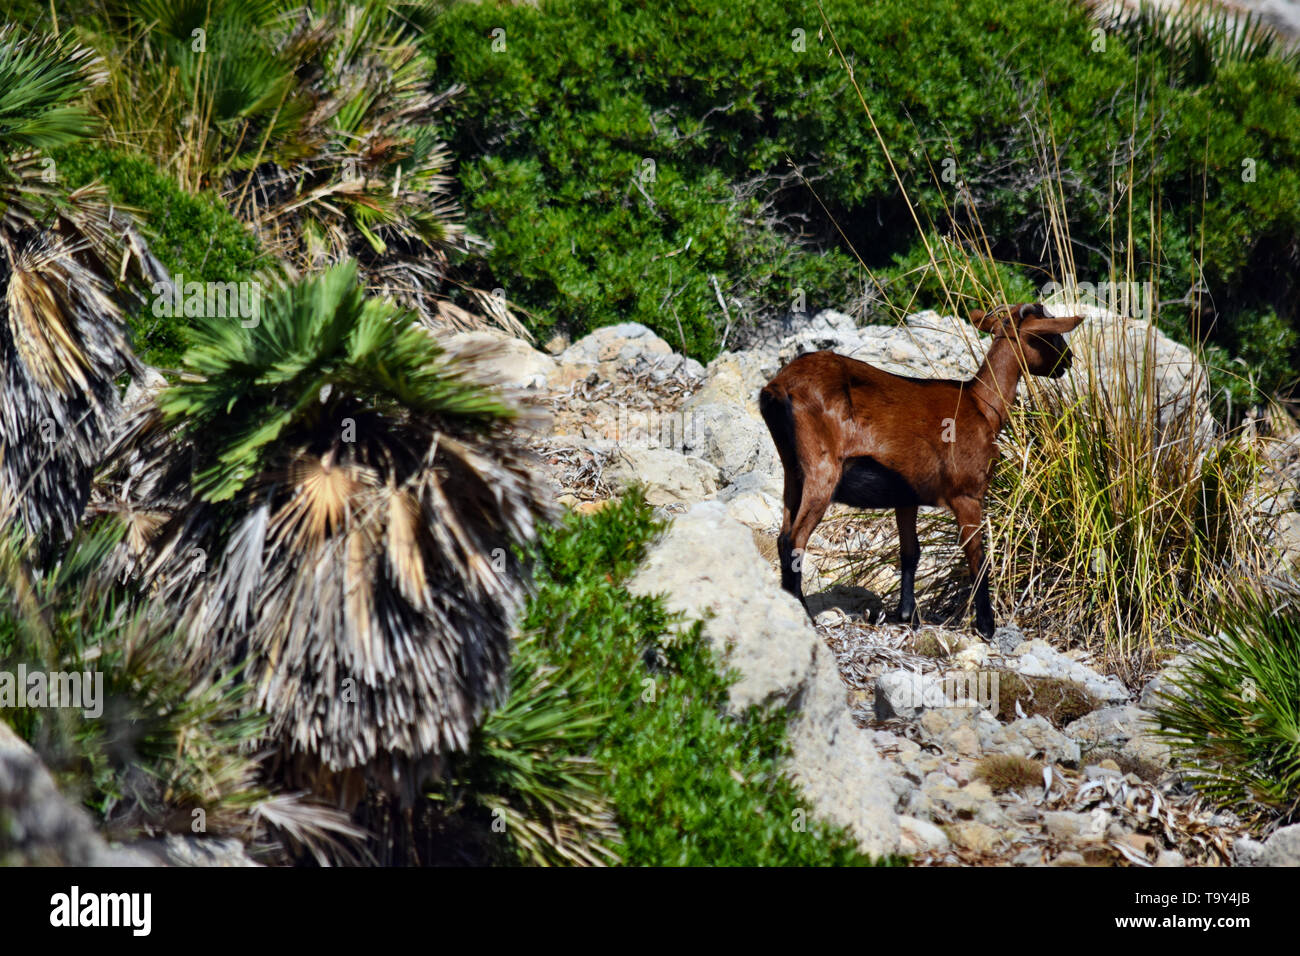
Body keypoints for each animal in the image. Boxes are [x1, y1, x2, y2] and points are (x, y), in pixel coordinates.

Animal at [758, 303, 1084, 639]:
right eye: (1050, 335)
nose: (1069, 360)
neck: (981, 405)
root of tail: (778, 387)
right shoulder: (967, 495)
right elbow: (977, 556)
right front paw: (986, 626)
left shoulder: (906, 496)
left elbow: (910, 553)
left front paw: (908, 616)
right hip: (822, 471)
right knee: (795, 540)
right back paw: (804, 616)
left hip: (792, 472)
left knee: (783, 536)